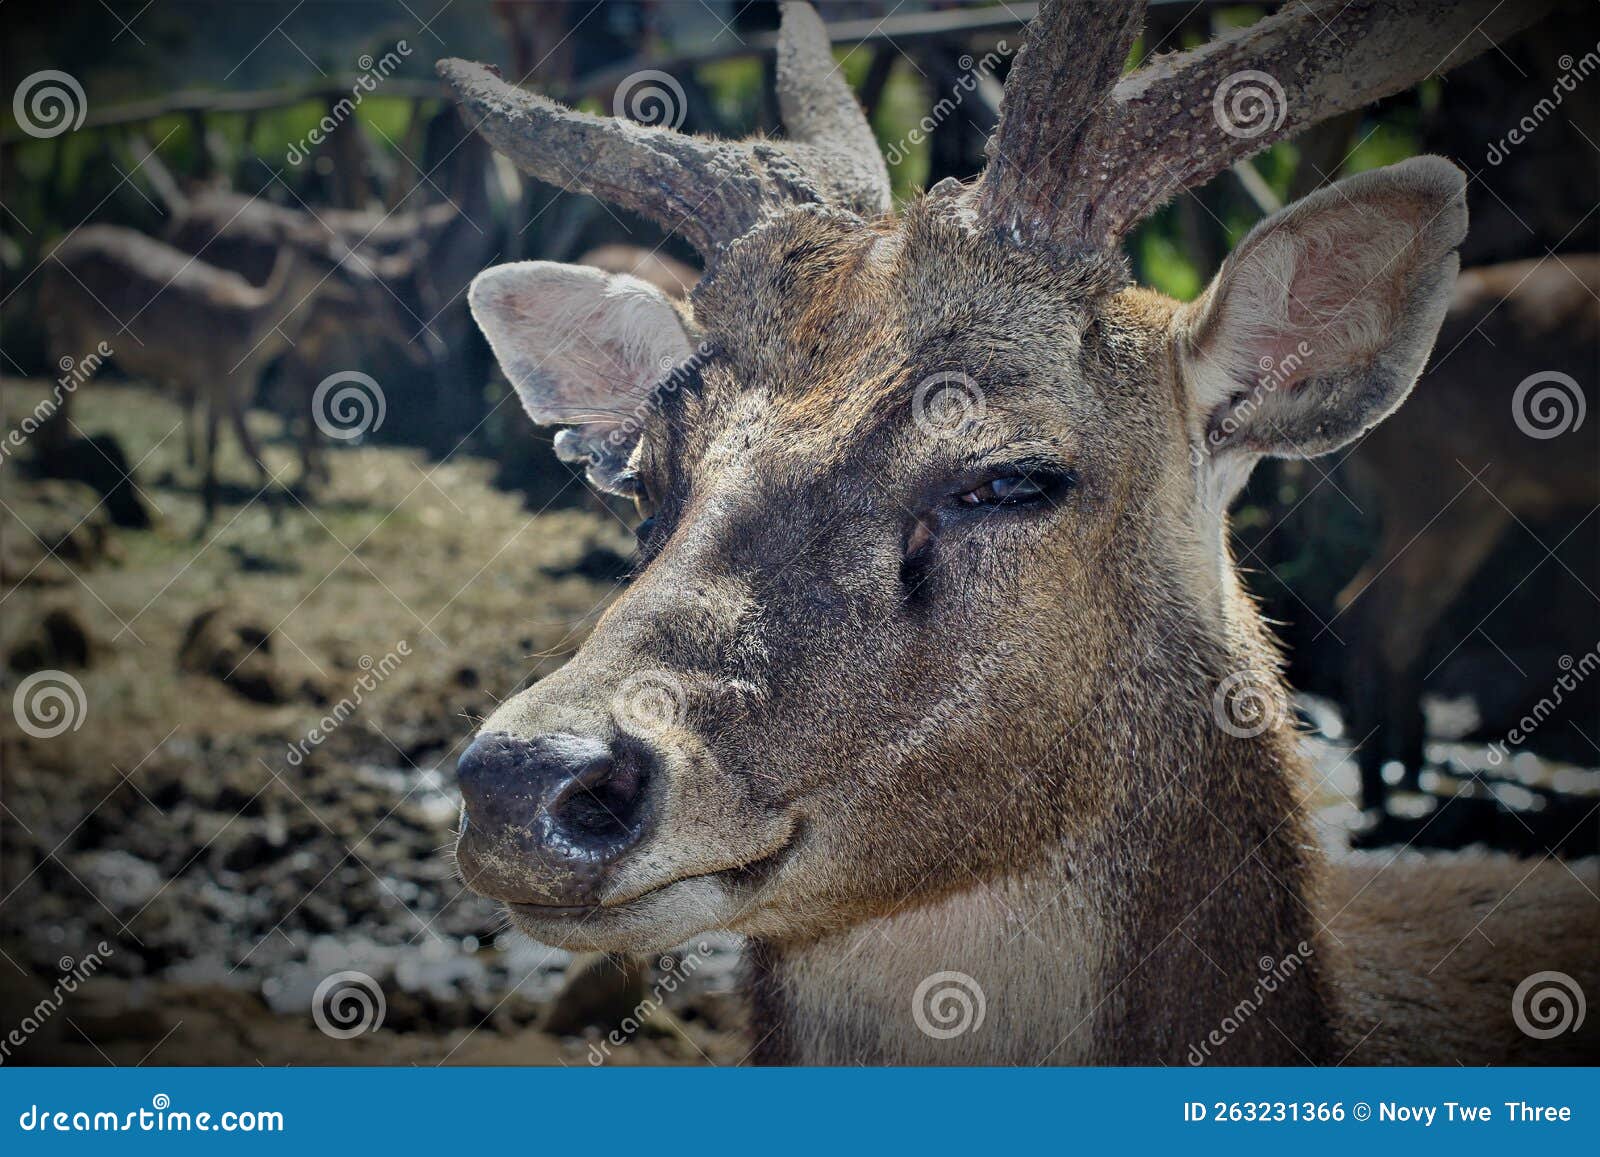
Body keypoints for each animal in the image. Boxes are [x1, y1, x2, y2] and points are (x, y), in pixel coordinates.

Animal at [38, 224, 331, 527]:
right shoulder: (222, 376)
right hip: (76, 326)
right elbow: (247, 443)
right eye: (316, 254)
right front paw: (273, 513)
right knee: (64, 377)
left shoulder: (231, 382)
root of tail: (50, 258)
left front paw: (213, 502)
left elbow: (219, 437)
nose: (345, 269)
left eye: (336, 245)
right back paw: (60, 461)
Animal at [1338, 255, 1600, 821]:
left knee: (1393, 615)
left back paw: (1410, 771)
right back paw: (1377, 791)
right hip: (1441, 489)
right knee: (1368, 607)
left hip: (1472, 502)